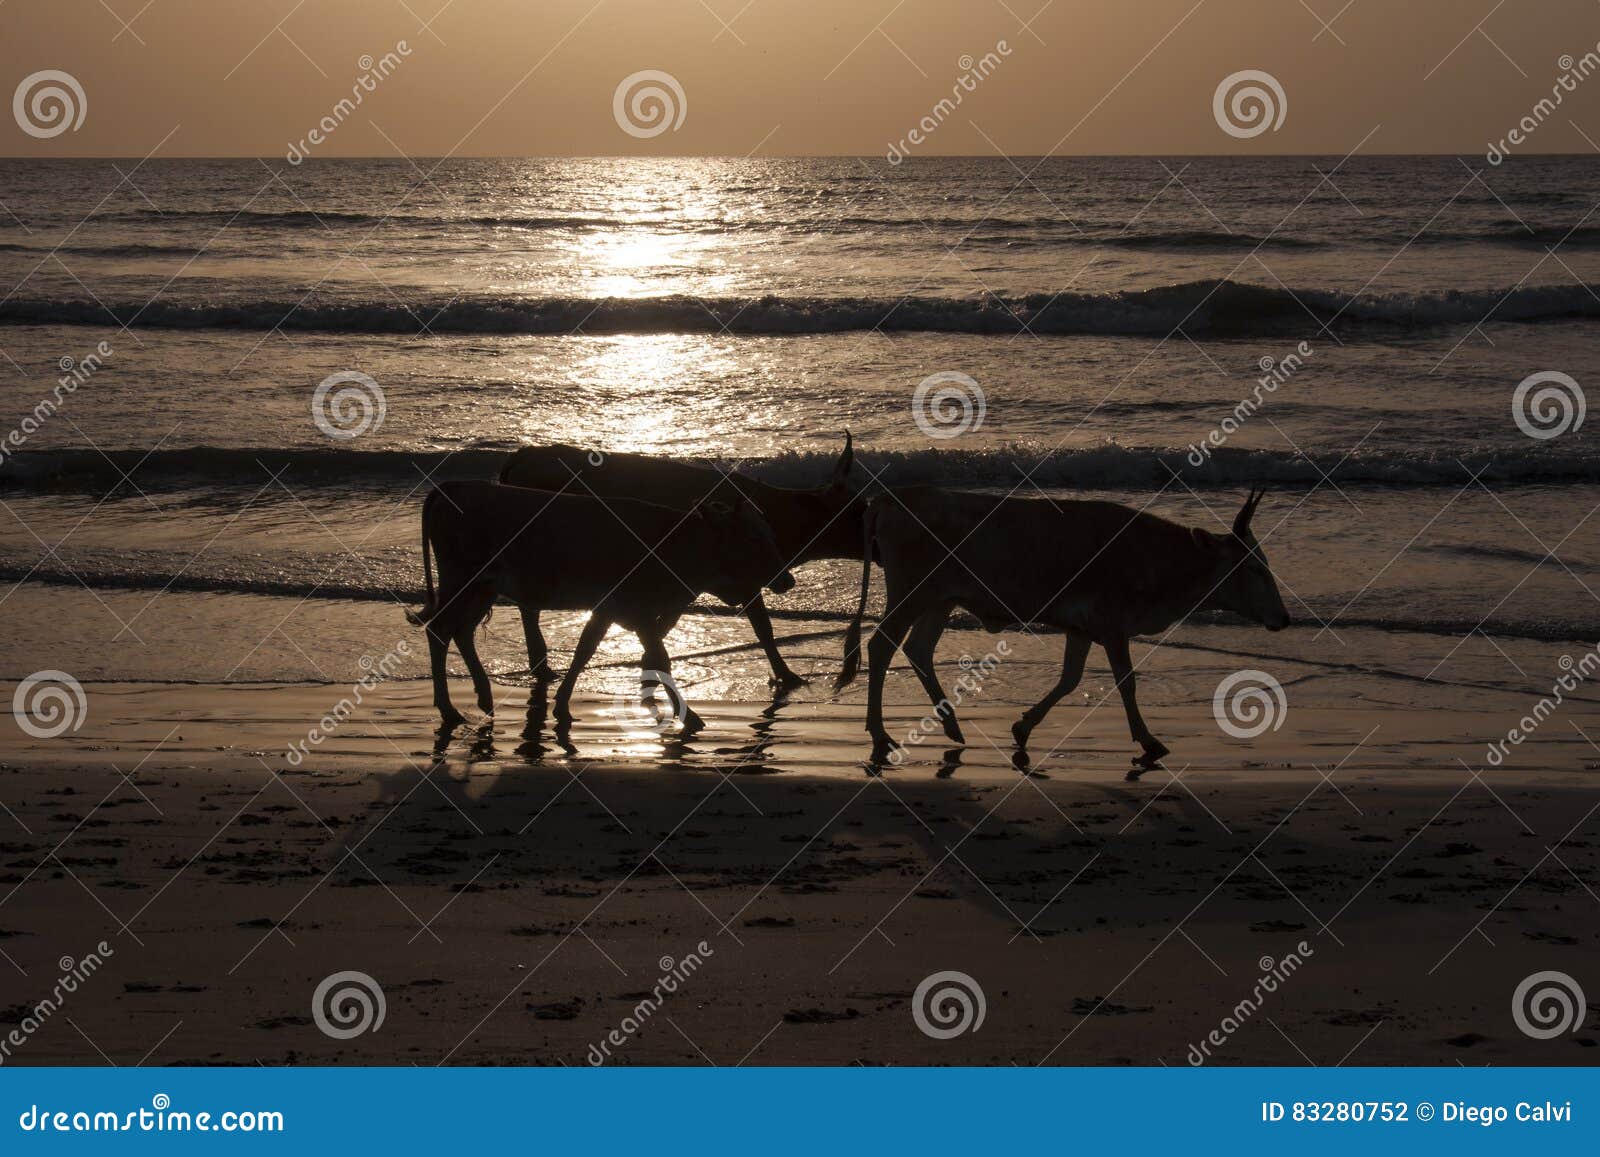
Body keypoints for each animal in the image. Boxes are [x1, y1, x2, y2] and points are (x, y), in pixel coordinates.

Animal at [406, 480, 796, 733]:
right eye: (752, 538)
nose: (787, 579)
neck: (673, 545)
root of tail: (454, 487)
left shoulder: (611, 609)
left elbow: (586, 649)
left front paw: (562, 702)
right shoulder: (635, 610)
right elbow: (660, 658)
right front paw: (690, 717)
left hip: (481, 588)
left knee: (461, 632)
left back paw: (484, 698)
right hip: (463, 581)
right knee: (440, 630)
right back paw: (449, 710)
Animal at [498, 435, 863, 689]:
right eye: (855, 509)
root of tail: (523, 455)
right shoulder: (734, 581)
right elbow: (763, 628)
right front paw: (787, 675)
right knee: (529, 609)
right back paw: (541, 664)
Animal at [834, 486, 1290, 767]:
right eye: (1253, 567)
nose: (1284, 618)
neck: (1154, 557)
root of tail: (893, 497)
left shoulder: (1082, 628)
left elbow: (1070, 678)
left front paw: (1023, 727)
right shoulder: (1112, 626)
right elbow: (1126, 682)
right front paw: (1148, 739)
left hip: (939, 601)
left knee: (918, 650)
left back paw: (951, 725)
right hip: (912, 594)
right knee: (881, 646)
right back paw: (880, 735)